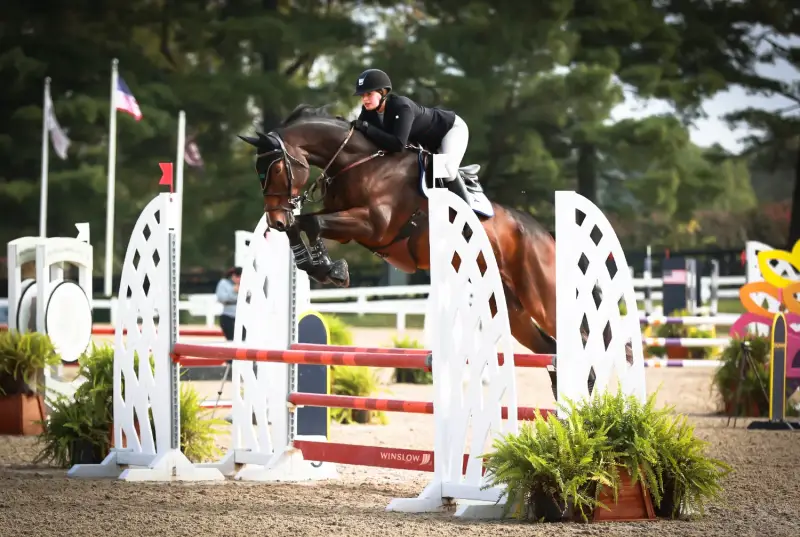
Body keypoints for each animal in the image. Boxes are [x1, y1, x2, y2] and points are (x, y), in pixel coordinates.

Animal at [238, 104, 573, 394]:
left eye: (276, 170)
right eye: (257, 172)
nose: (275, 220)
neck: (359, 163)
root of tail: (545, 234)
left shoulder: (374, 225)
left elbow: (312, 222)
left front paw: (330, 268)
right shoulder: (348, 226)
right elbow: (304, 224)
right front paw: (321, 266)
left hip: (541, 297)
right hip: (505, 306)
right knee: (549, 348)